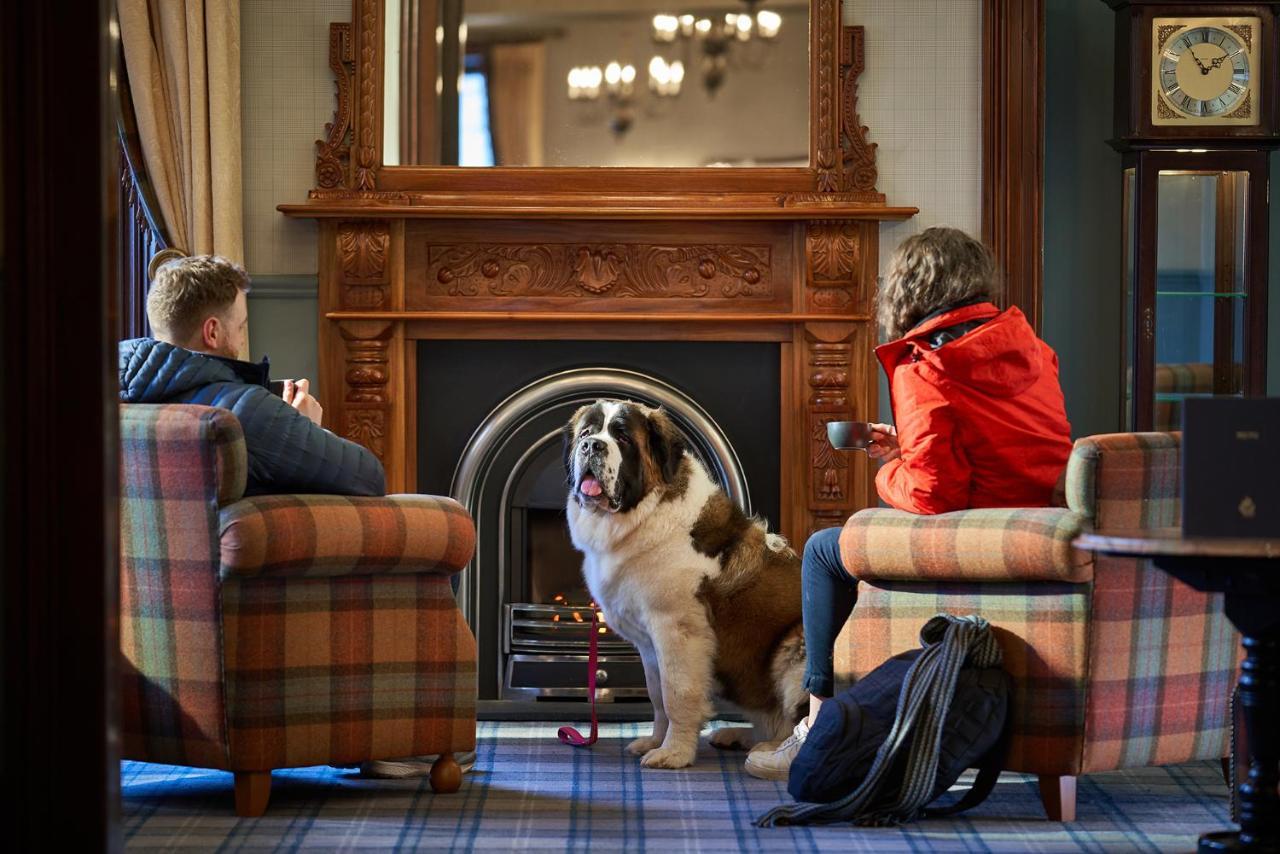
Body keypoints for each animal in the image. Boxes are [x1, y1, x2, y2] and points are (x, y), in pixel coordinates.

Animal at [565, 399, 803, 768]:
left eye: (622, 437)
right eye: (586, 433)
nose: (592, 446)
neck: (641, 515)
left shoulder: (677, 629)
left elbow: (677, 693)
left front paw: (674, 753)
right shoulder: (650, 644)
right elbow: (657, 694)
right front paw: (654, 741)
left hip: (794, 643)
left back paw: (769, 751)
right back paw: (740, 737)